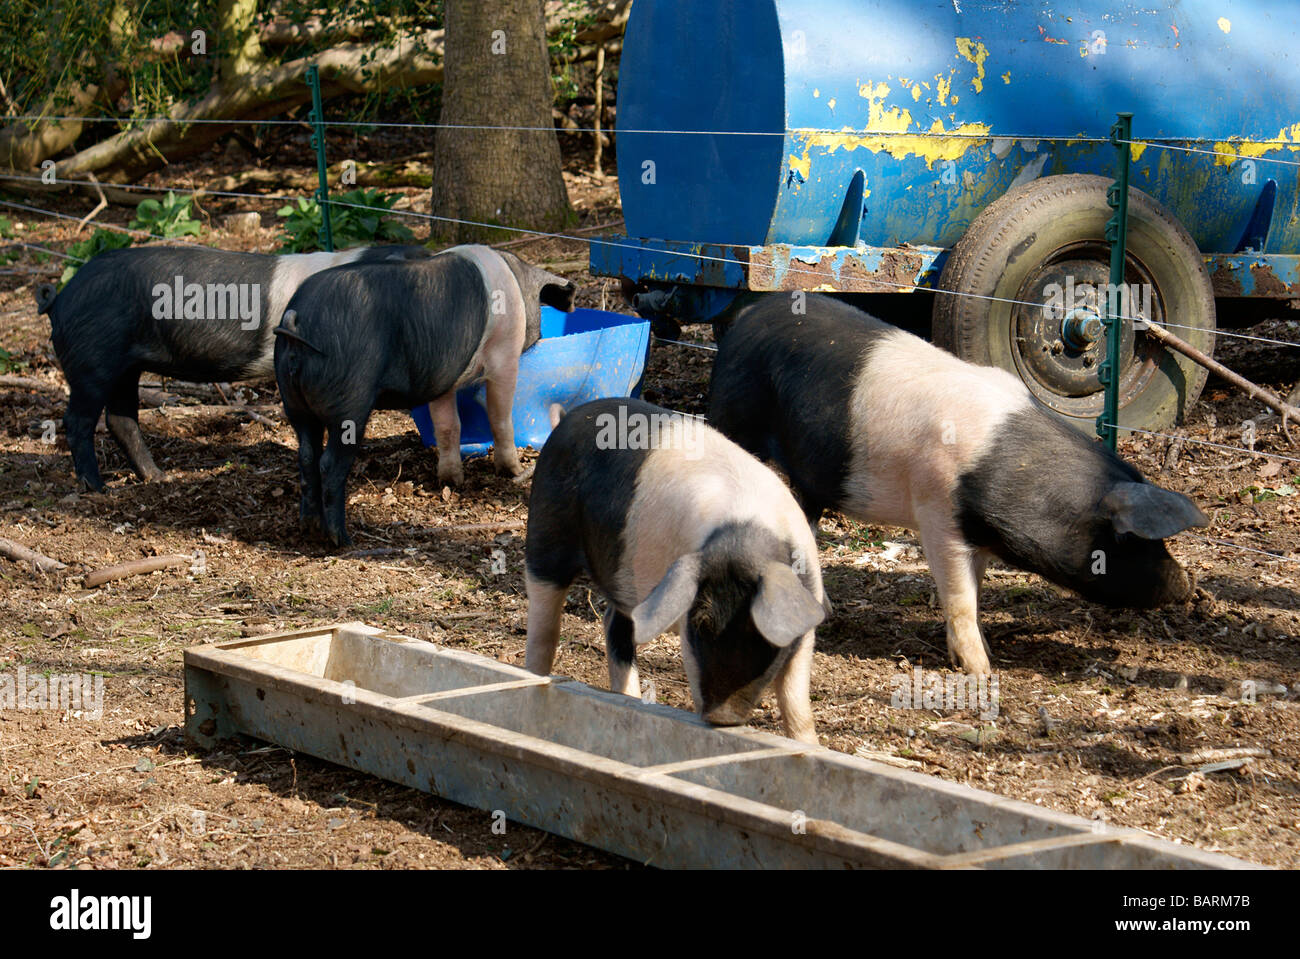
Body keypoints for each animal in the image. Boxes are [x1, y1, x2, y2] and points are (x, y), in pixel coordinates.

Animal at [34, 244, 434, 492]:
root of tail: (60, 298)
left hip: (126, 367)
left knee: (121, 420)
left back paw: (158, 478)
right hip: (94, 359)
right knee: (78, 420)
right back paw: (97, 488)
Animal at [274, 245, 576, 547]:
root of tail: (297, 320)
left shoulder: (444, 377)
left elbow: (447, 426)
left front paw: (451, 481)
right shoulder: (504, 358)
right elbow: (500, 418)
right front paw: (511, 471)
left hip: (294, 405)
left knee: (307, 457)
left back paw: (309, 528)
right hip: (349, 404)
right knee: (329, 463)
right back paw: (343, 540)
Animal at [523, 398, 828, 744]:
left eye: (758, 634)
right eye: (702, 625)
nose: (722, 718)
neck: (743, 533)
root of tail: (567, 419)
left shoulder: (806, 623)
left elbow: (797, 703)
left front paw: (809, 746)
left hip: (625, 578)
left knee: (615, 625)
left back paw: (629, 698)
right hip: (546, 533)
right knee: (544, 624)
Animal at [708, 293, 1209, 675]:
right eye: (1129, 540)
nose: (1188, 584)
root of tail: (746, 318)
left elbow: (978, 592)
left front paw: (982, 653)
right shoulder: (938, 515)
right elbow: (959, 597)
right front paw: (982, 672)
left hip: (810, 472)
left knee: (805, 523)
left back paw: (826, 611)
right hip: (734, 419)